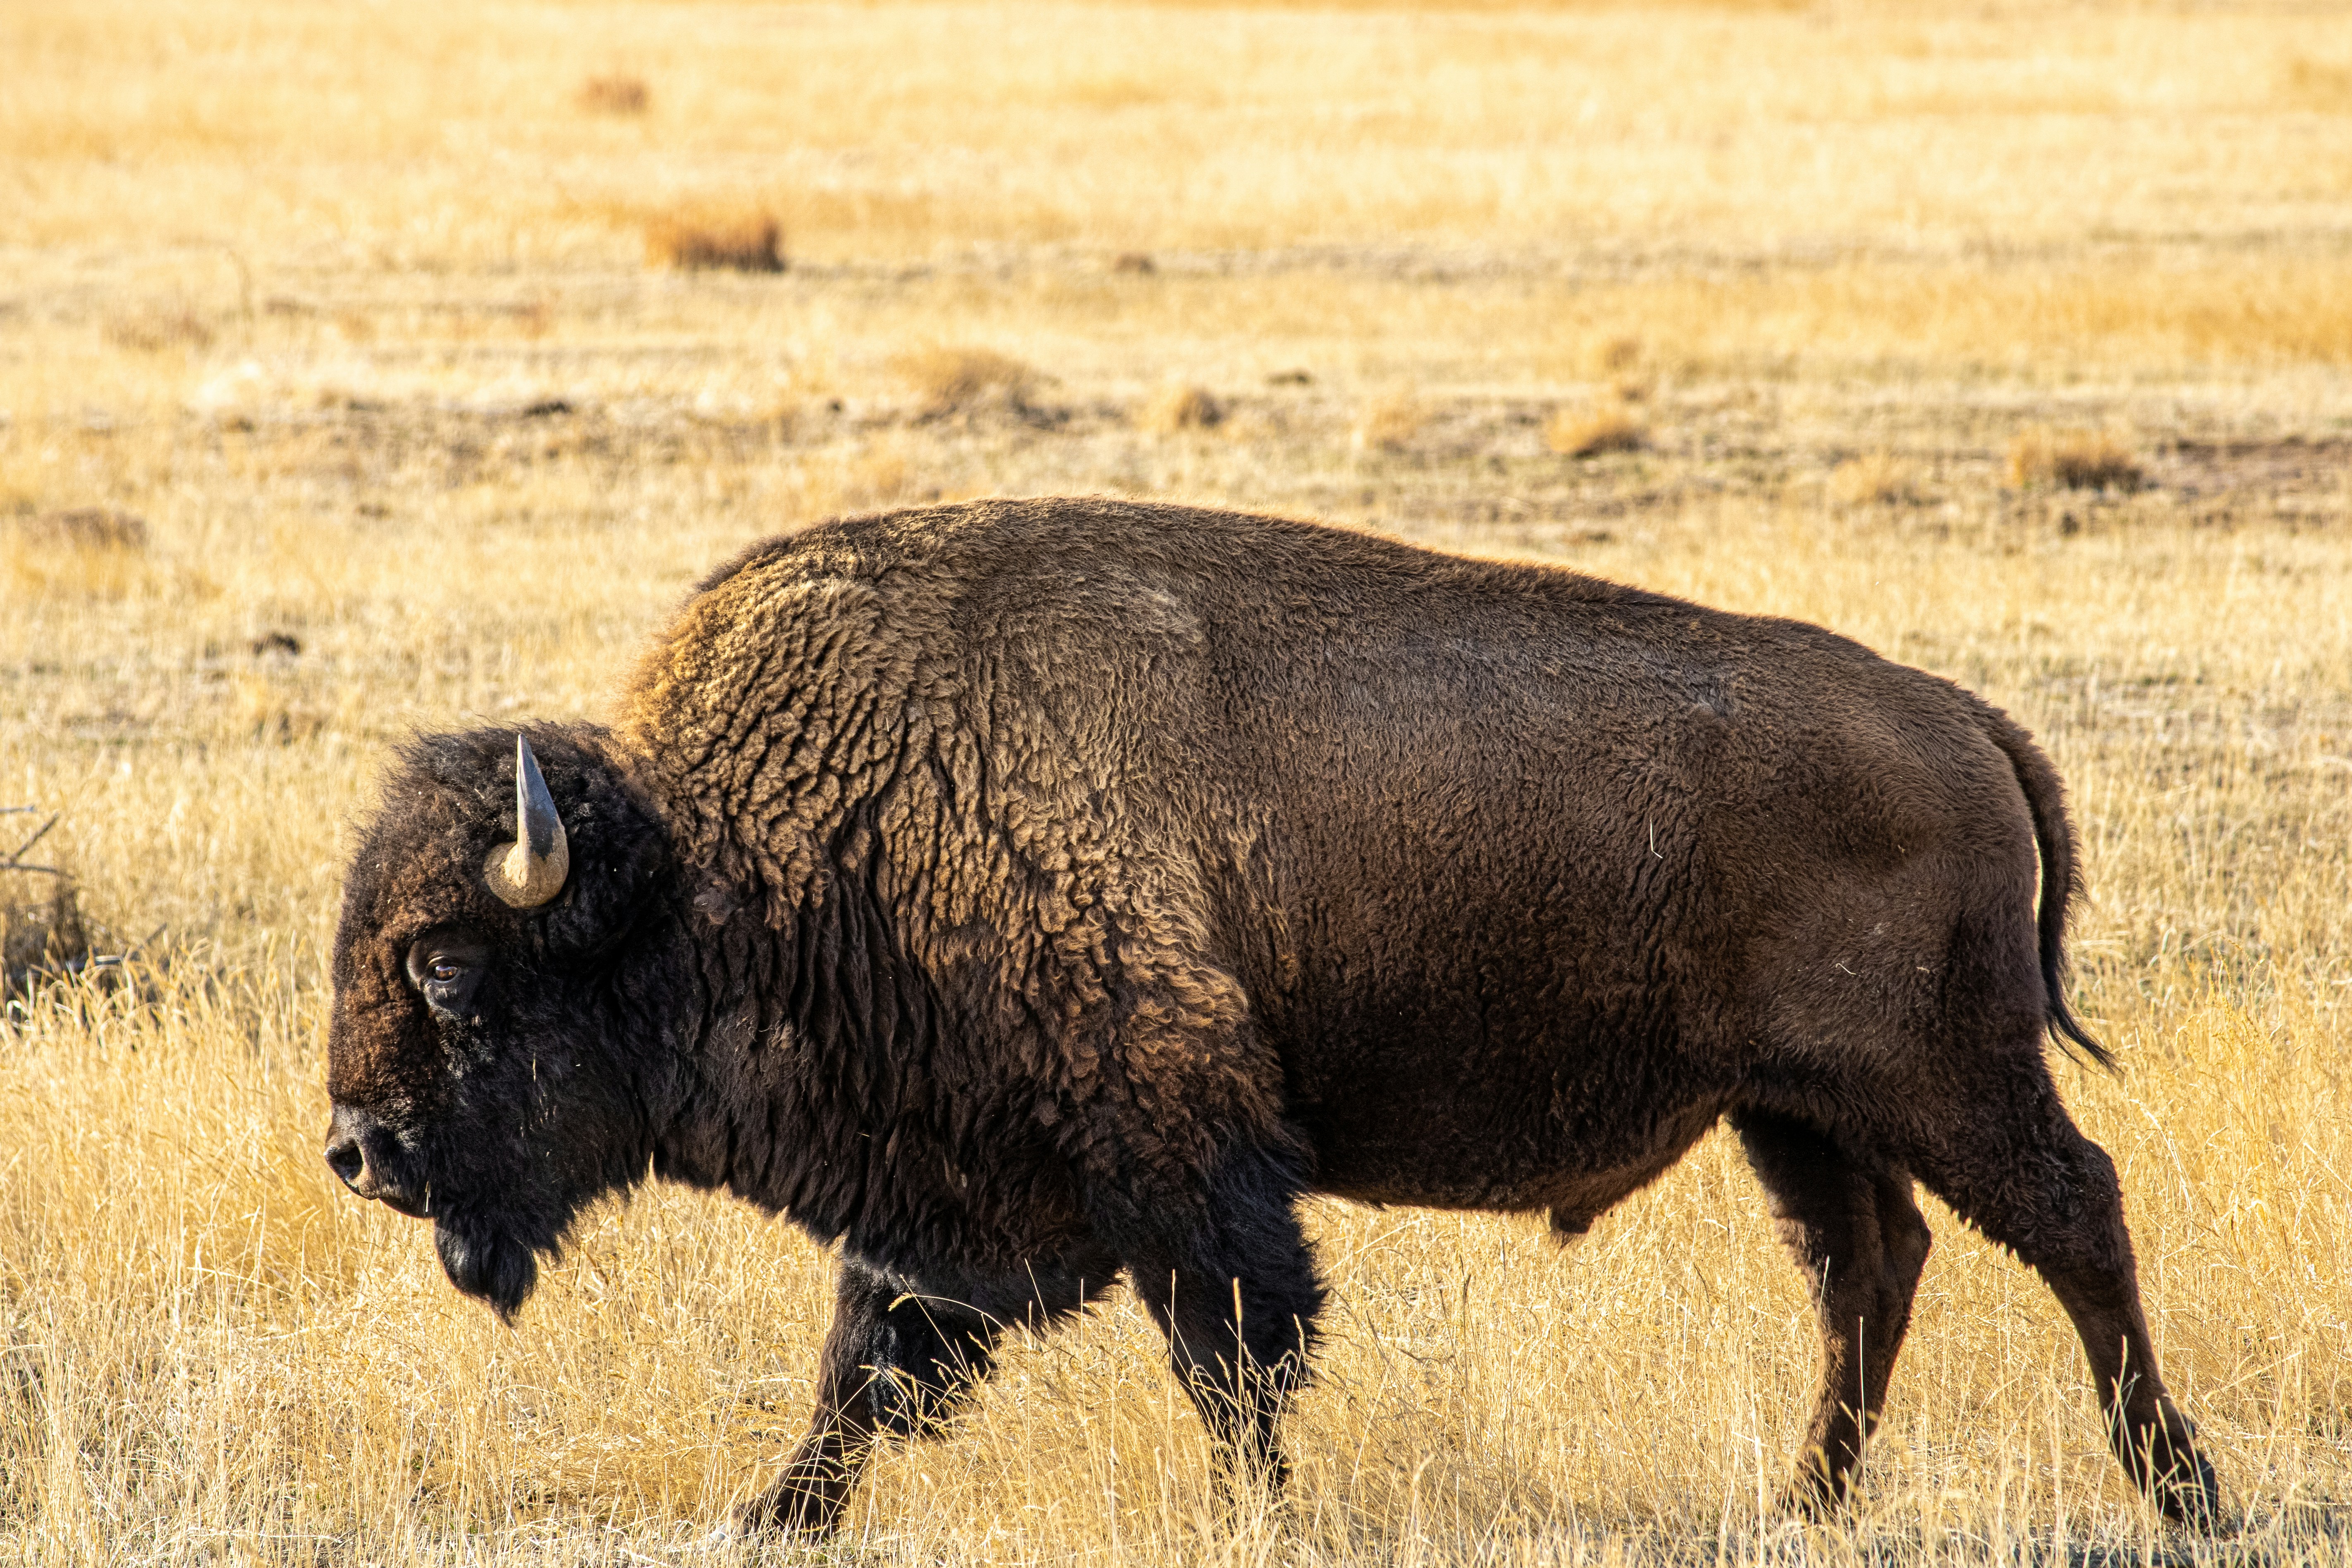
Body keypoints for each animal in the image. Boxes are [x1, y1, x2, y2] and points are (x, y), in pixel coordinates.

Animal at [324, 499, 2219, 1533]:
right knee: (1866, 1265)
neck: (742, 854)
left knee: (2072, 1217)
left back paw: (2179, 1488)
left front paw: (1265, 1512)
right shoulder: (954, 1202)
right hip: (1793, 1109)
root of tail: (1966, 718)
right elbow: (871, 1368)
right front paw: (768, 1515)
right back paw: (1806, 1501)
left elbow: (1231, 1354)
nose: (359, 1149)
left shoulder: (1181, 1162)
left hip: (1942, 1076)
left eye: (447, 965)